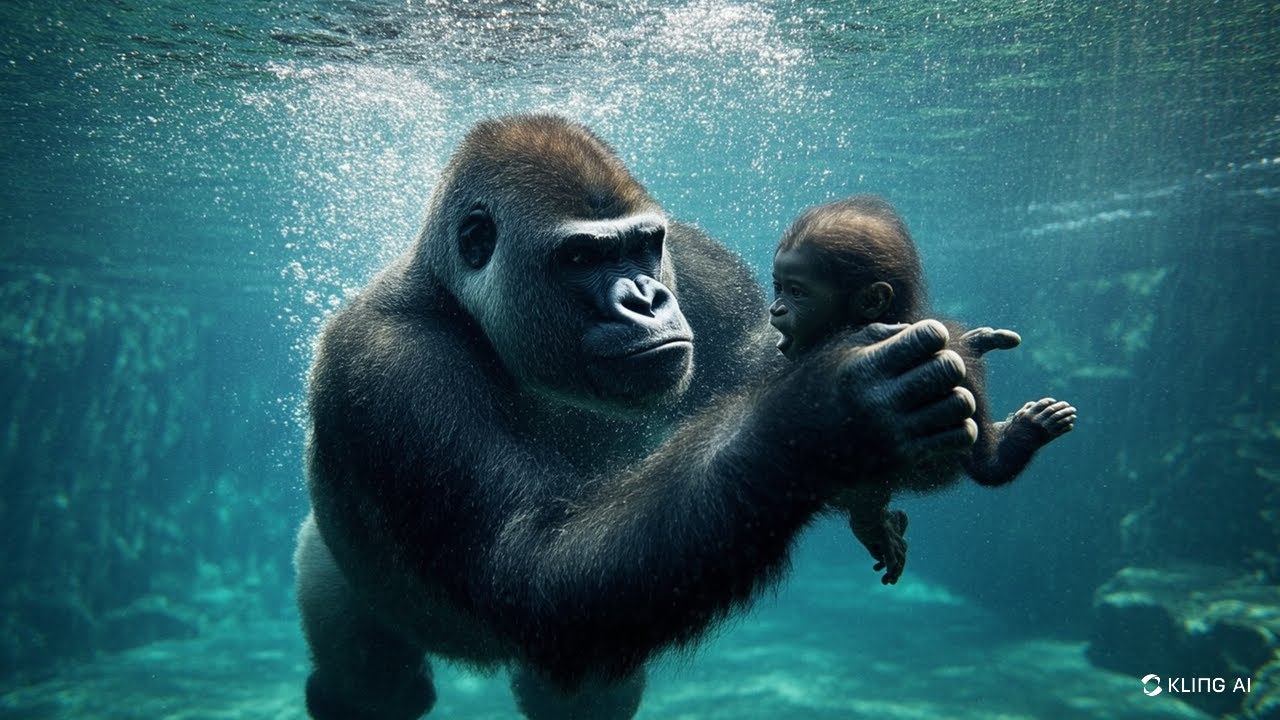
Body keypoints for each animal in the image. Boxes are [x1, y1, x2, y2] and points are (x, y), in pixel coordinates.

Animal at [294, 114, 980, 720]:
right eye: (578, 259)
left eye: (643, 247)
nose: (647, 300)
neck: (457, 296)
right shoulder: (390, 366)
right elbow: (532, 569)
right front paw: (827, 420)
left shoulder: (698, 265)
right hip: (336, 565)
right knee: (376, 681)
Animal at [769, 194, 1077, 586]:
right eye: (778, 286)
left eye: (797, 292)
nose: (776, 309)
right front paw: (878, 532)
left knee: (985, 465)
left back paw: (1025, 429)